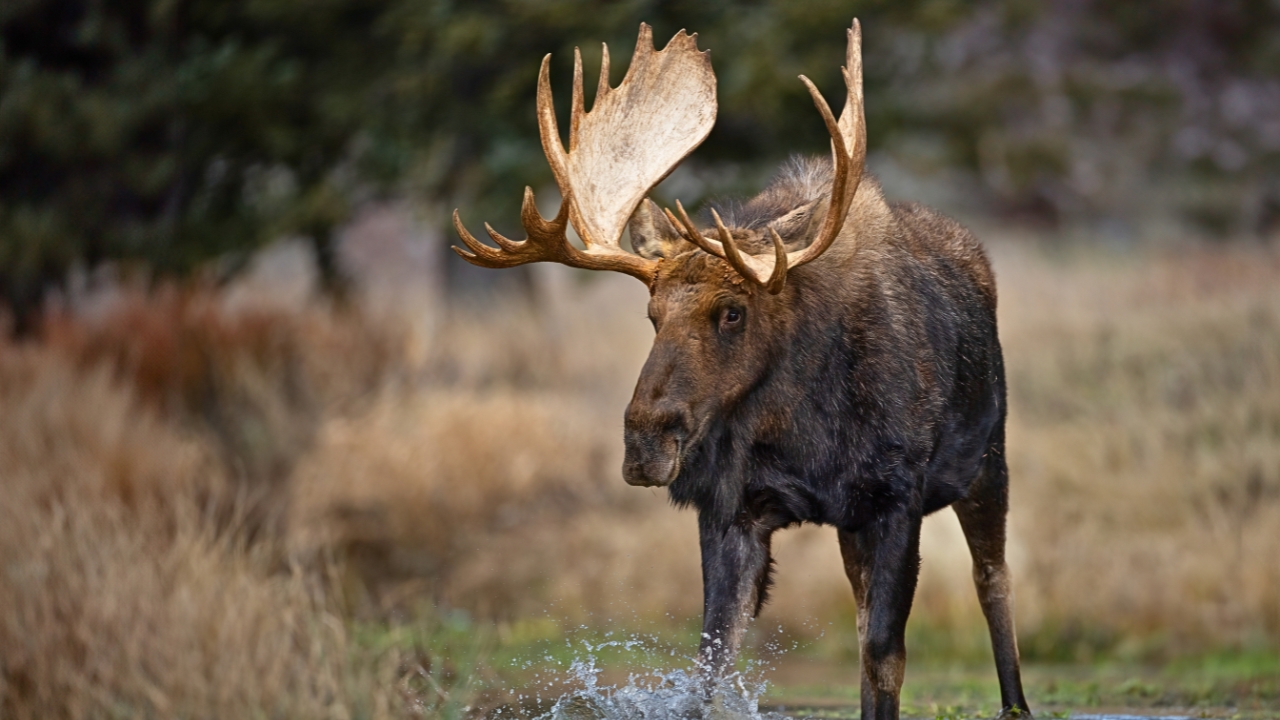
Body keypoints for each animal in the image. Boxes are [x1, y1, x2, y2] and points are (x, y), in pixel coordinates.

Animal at [452, 19, 1033, 720]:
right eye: (652, 314)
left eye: (732, 311)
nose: (645, 441)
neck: (806, 432)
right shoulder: (731, 507)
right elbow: (713, 662)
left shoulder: (897, 497)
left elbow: (886, 655)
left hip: (988, 462)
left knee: (992, 579)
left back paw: (1017, 703)